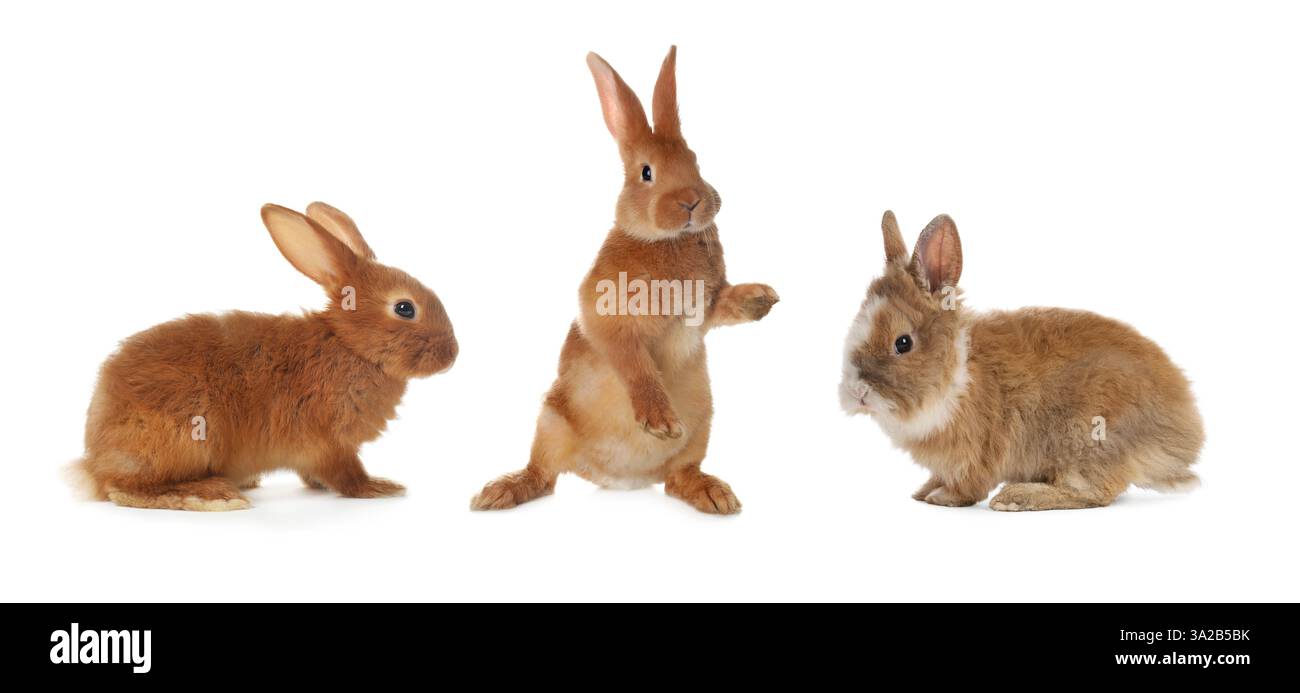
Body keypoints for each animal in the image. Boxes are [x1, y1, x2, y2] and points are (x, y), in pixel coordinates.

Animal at [74, 202, 458, 511]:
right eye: (405, 308)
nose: (452, 355)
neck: (348, 345)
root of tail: (95, 460)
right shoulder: (327, 443)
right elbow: (347, 474)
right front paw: (378, 487)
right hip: (183, 437)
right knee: (126, 489)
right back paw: (212, 495)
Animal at [470, 46, 778, 514]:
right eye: (646, 173)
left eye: (694, 160)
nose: (692, 200)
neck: (664, 240)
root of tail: (620, 480)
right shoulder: (607, 316)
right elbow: (633, 362)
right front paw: (659, 420)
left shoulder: (703, 310)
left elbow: (723, 306)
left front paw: (761, 297)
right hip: (551, 420)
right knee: (543, 473)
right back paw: (500, 492)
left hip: (704, 420)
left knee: (679, 475)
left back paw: (713, 494)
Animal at [839, 211, 1203, 511]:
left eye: (903, 343)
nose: (857, 393)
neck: (958, 372)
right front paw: (924, 491)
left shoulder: (975, 454)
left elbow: (967, 486)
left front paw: (942, 497)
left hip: (1086, 437)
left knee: (1092, 492)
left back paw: (1016, 496)